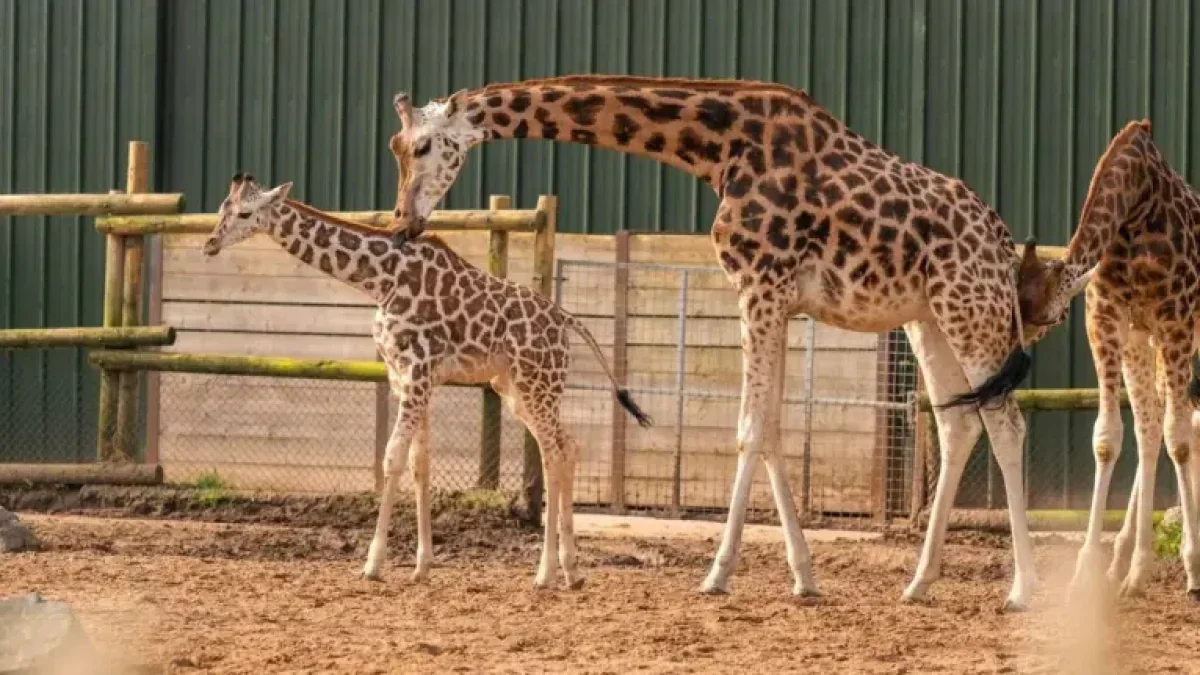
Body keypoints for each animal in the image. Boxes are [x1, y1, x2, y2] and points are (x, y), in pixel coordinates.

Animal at [200, 173, 653, 589]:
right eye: (222, 207)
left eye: (245, 213)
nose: (210, 244)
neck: (380, 281)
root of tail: (567, 321)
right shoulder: (404, 375)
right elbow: (421, 463)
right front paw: (421, 566)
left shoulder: (418, 370)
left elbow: (392, 459)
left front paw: (373, 564)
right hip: (517, 389)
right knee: (565, 447)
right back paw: (571, 571)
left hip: (536, 384)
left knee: (555, 453)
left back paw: (545, 574)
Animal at [380, 75, 1071, 610]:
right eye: (394, 147)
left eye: (424, 145)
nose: (403, 220)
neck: (717, 150)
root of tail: (999, 238)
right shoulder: (777, 297)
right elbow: (771, 427)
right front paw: (803, 578)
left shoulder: (760, 285)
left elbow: (748, 428)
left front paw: (717, 574)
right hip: (928, 317)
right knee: (960, 423)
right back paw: (919, 583)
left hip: (971, 309)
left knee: (1006, 423)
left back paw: (1023, 589)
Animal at [1018, 119, 1200, 601]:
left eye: (1050, 316)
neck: (1137, 207)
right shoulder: (1114, 320)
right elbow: (1113, 435)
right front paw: (1094, 572)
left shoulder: (1173, 320)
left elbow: (1178, 438)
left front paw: (1189, 568)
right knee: (1156, 421)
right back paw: (1123, 562)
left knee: (1182, 422)